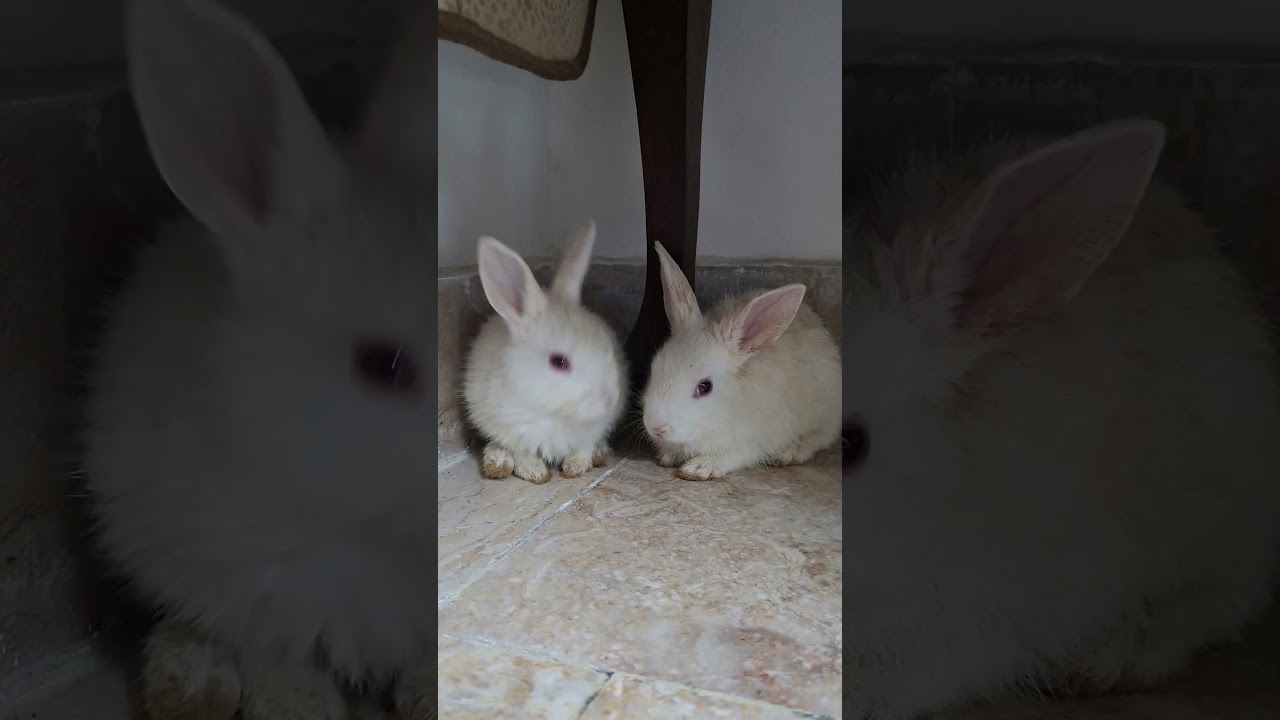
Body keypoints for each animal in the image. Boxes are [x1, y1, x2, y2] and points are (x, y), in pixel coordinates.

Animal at [84, 0, 437, 718]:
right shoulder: (235, 583)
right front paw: (300, 705)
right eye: (382, 365)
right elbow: (270, 652)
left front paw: (424, 692)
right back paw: (190, 683)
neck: (364, 530)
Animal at [462, 222, 627, 484]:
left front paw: (576, 467)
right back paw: (497, 462)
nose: (610, 400)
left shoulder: (592, 429)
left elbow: (584, 446)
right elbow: (522, 453)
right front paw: (535, 473)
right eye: (559, 361)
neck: (554, 412)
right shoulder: (511, 428)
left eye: (607, 345)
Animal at [640, 241, 842, 480]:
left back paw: (790, 452)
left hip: (825, 413)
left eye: (704, 387)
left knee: (821, 437)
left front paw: (698, 468)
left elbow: (734, 456)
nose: (655, 427)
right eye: (655, 368)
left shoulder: (753, 441)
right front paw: (667, 457)